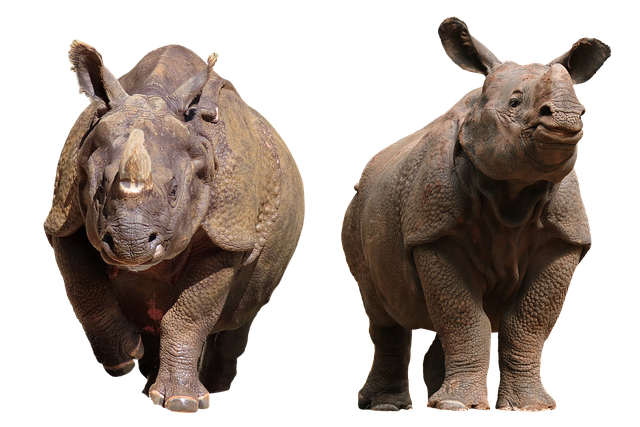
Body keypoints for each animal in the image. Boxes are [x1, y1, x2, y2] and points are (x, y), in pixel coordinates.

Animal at [43, 39, 305, 414]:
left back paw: (215, 387)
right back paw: (148, 381)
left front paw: (184, 403)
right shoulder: (65, 216)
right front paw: (125, 357)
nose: (131, 244)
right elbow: (83, 288)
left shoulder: (228, 234)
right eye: (99, 188)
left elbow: (190, 315)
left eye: (174, 191)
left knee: (241, 315)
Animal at [340, 16, 611, 412]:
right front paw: (457, 407)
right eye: (514, 102)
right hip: (357, 212)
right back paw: (388, 406)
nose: (565, 119)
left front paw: (529, 407)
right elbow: (464, 318)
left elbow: (525, 324)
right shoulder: (434, 232)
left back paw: (437, 396)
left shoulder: (564, 238)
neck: (513, 190)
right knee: (383, 311)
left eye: (583, 109)